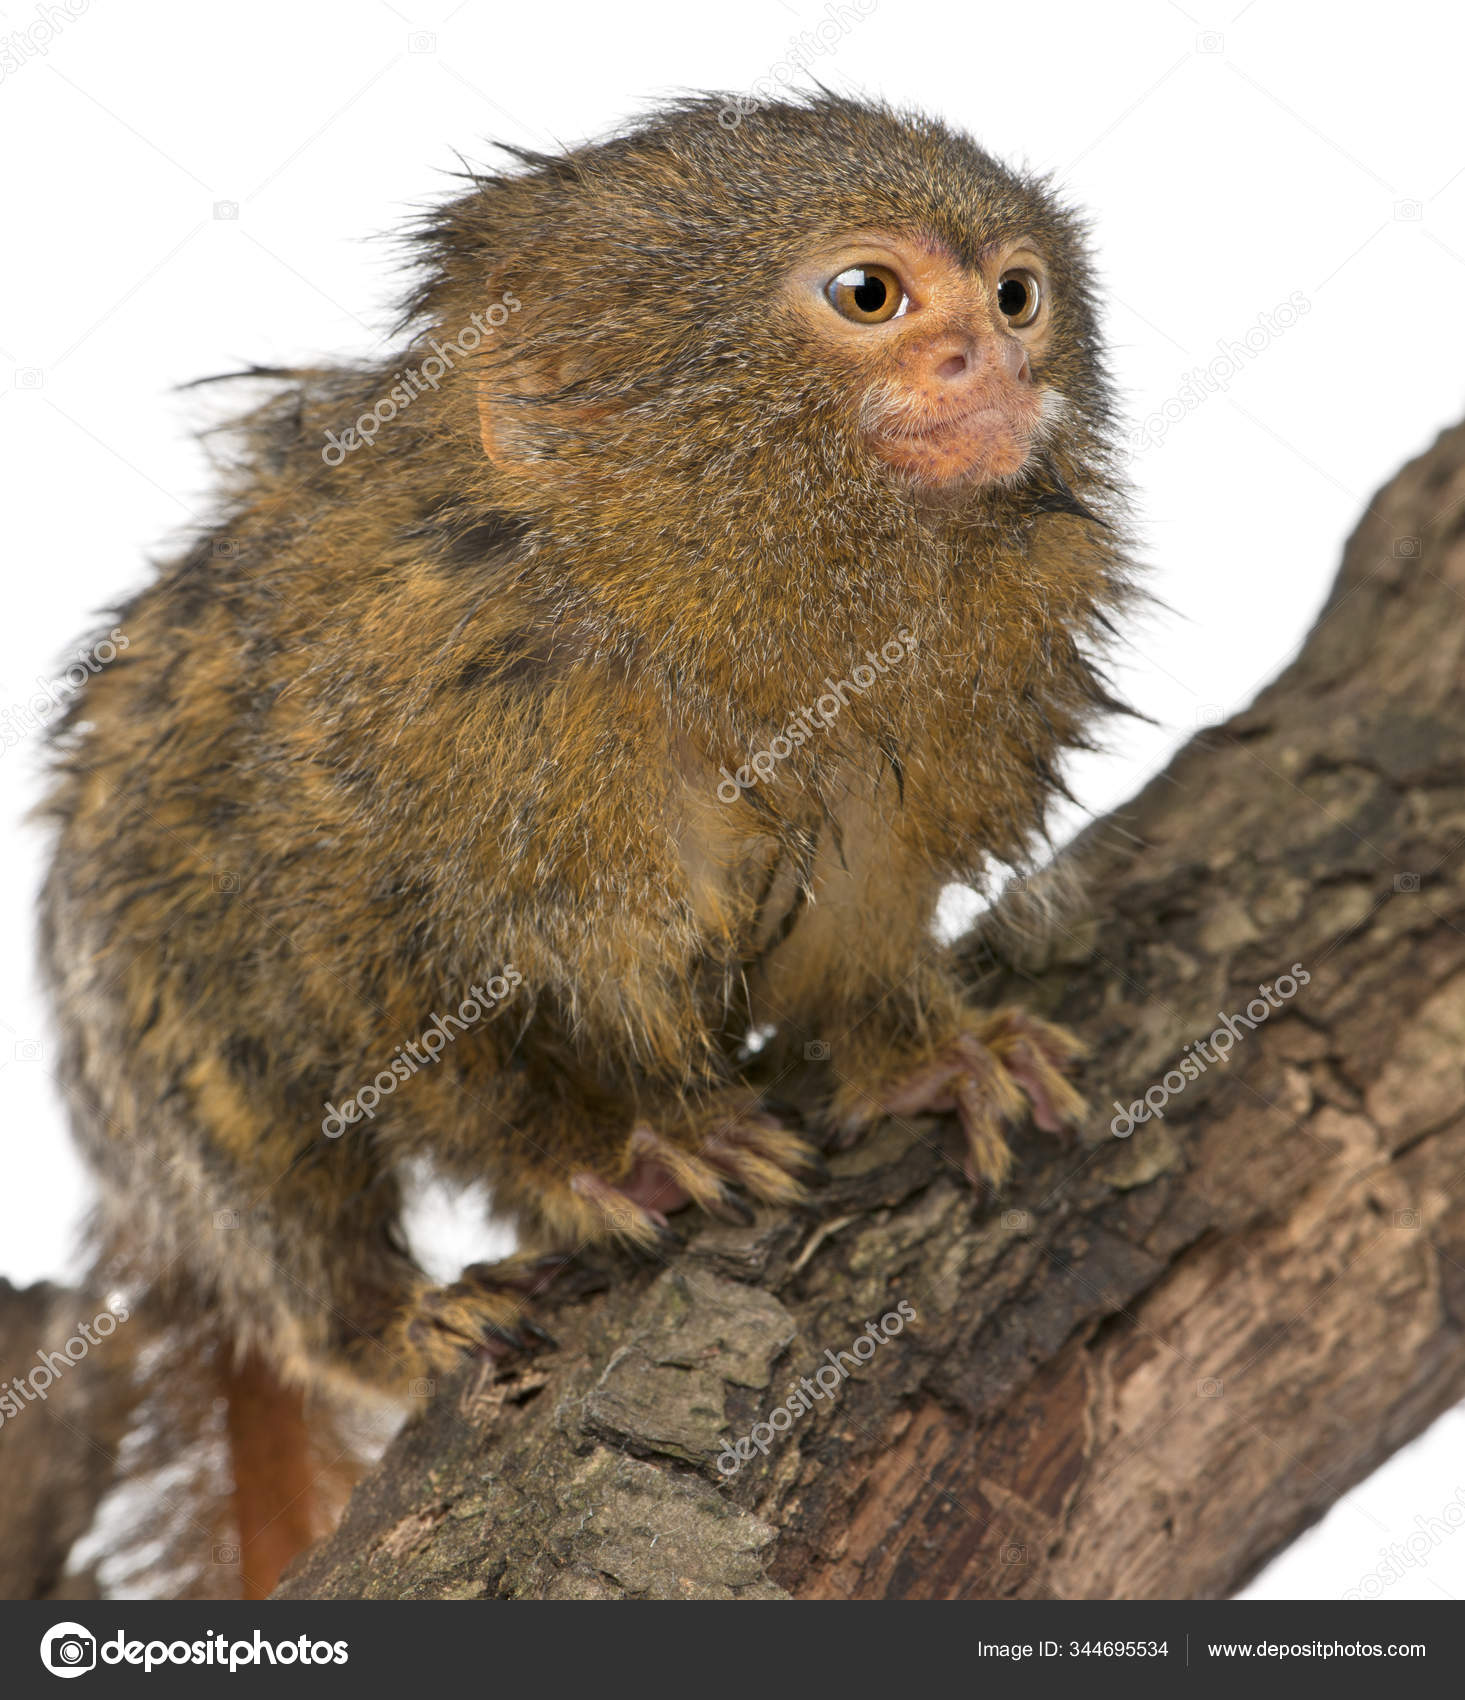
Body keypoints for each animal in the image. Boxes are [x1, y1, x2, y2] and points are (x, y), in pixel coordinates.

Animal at [38, 92, 1133, 1597]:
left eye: (1020, 294)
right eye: (870, 295)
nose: (994, 358)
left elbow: (860, 937)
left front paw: (929, 1054)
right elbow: (397, 1016)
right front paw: (608, 1151)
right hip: (123, 1006)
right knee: (246, 1150)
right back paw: (385, 1319)